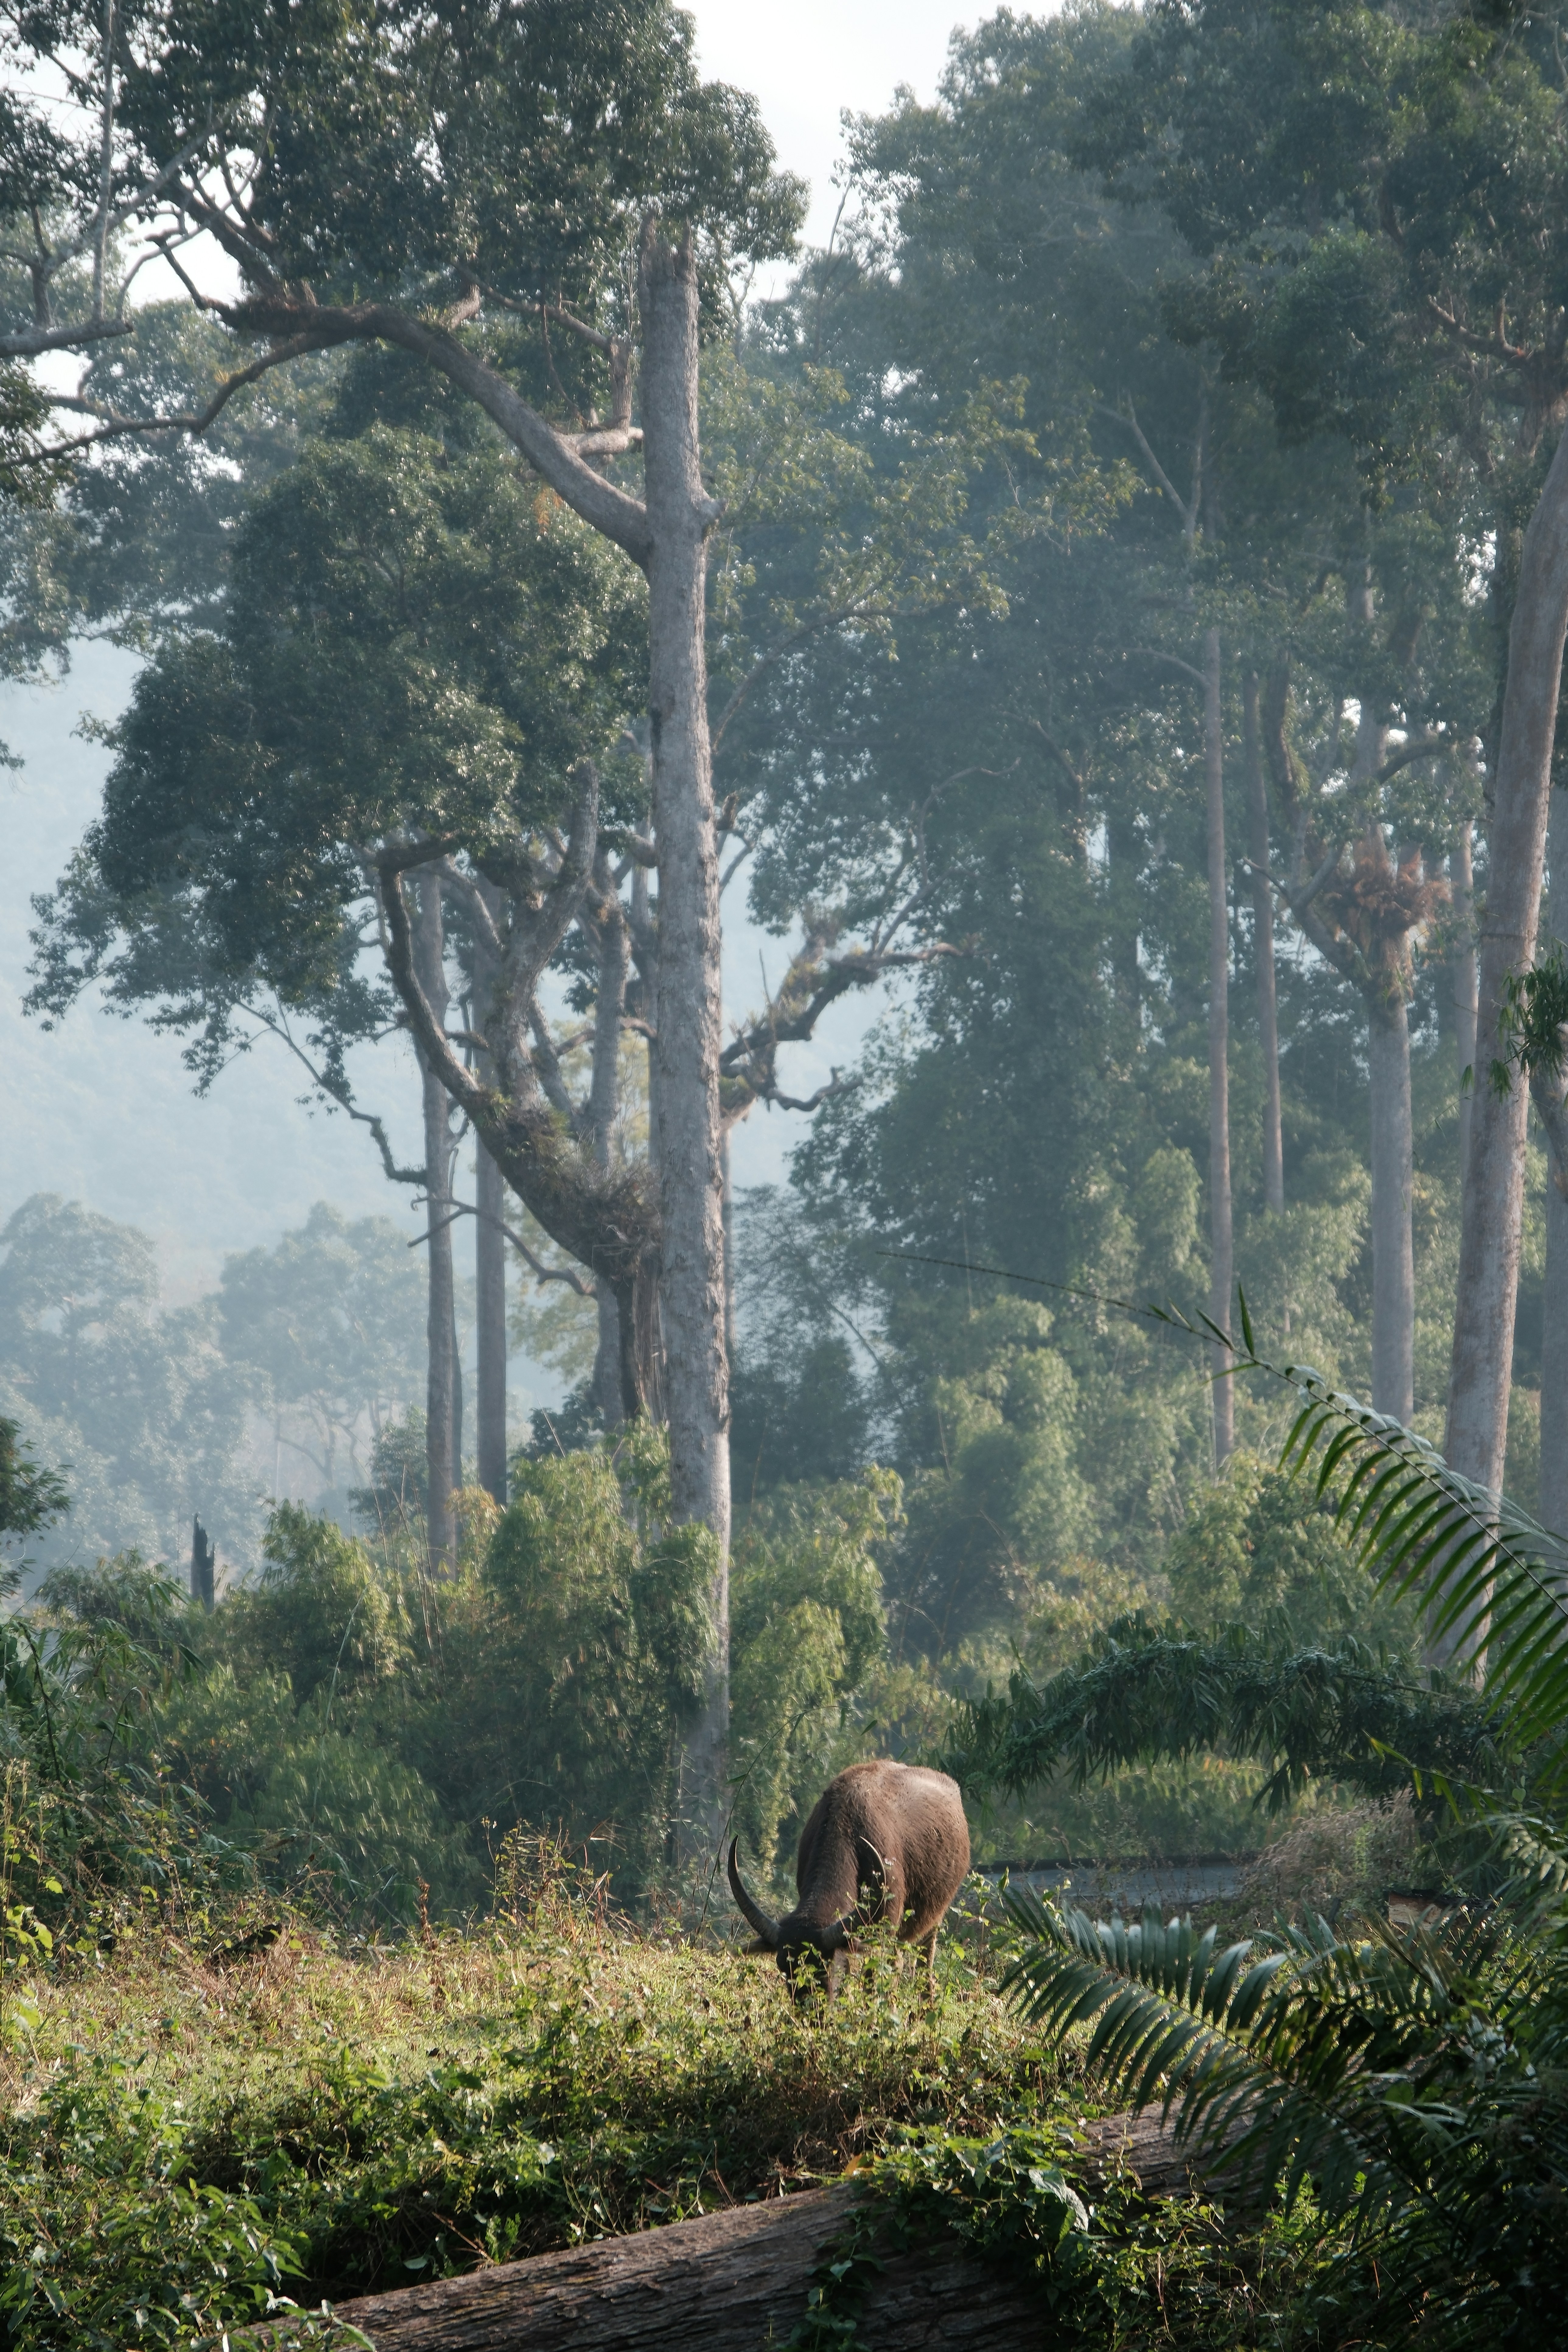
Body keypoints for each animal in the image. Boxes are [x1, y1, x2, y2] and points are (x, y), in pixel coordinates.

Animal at [727, 1759, 971, 1998]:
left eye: (826, 1965)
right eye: (784, 1968)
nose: (811, 2006)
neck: (846, 1826)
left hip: (934, 1918)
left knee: (922, 1962)